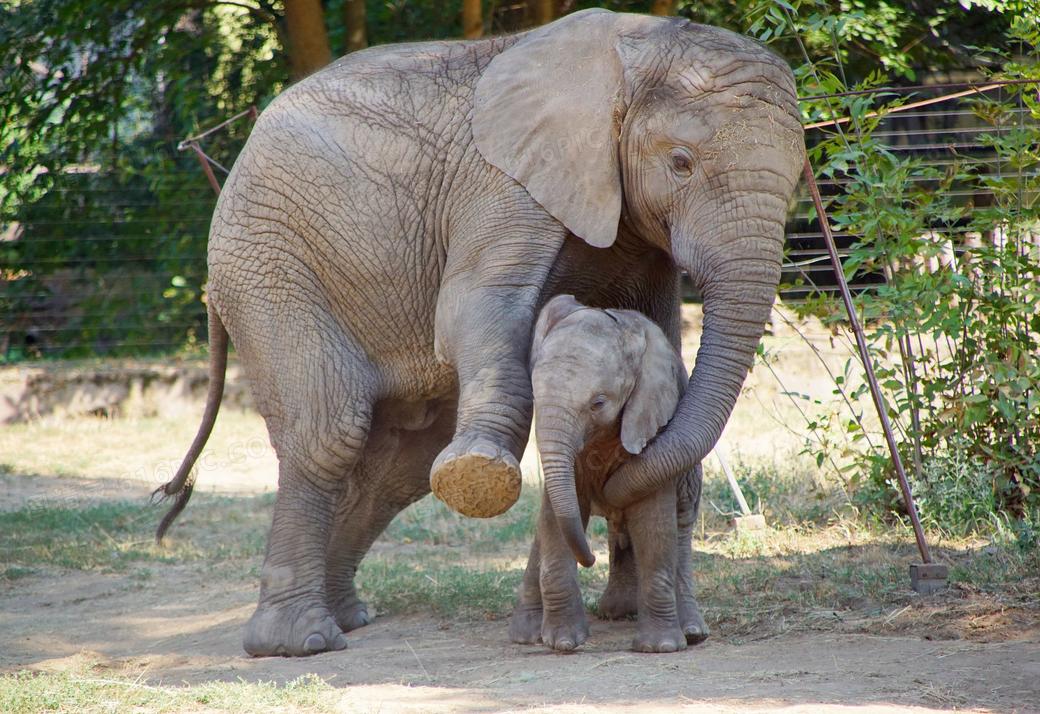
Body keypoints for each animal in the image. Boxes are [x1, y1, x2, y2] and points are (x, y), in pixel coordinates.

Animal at [510, 294, 707, 652]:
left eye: (598, 403)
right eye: (533, 396)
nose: (590, 560)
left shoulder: (656, 421)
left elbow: (654, 519)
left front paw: (660, 647)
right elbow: (560, 514)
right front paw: (563, 641)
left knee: (682, 526)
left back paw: (691, 631)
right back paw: (528, 634)